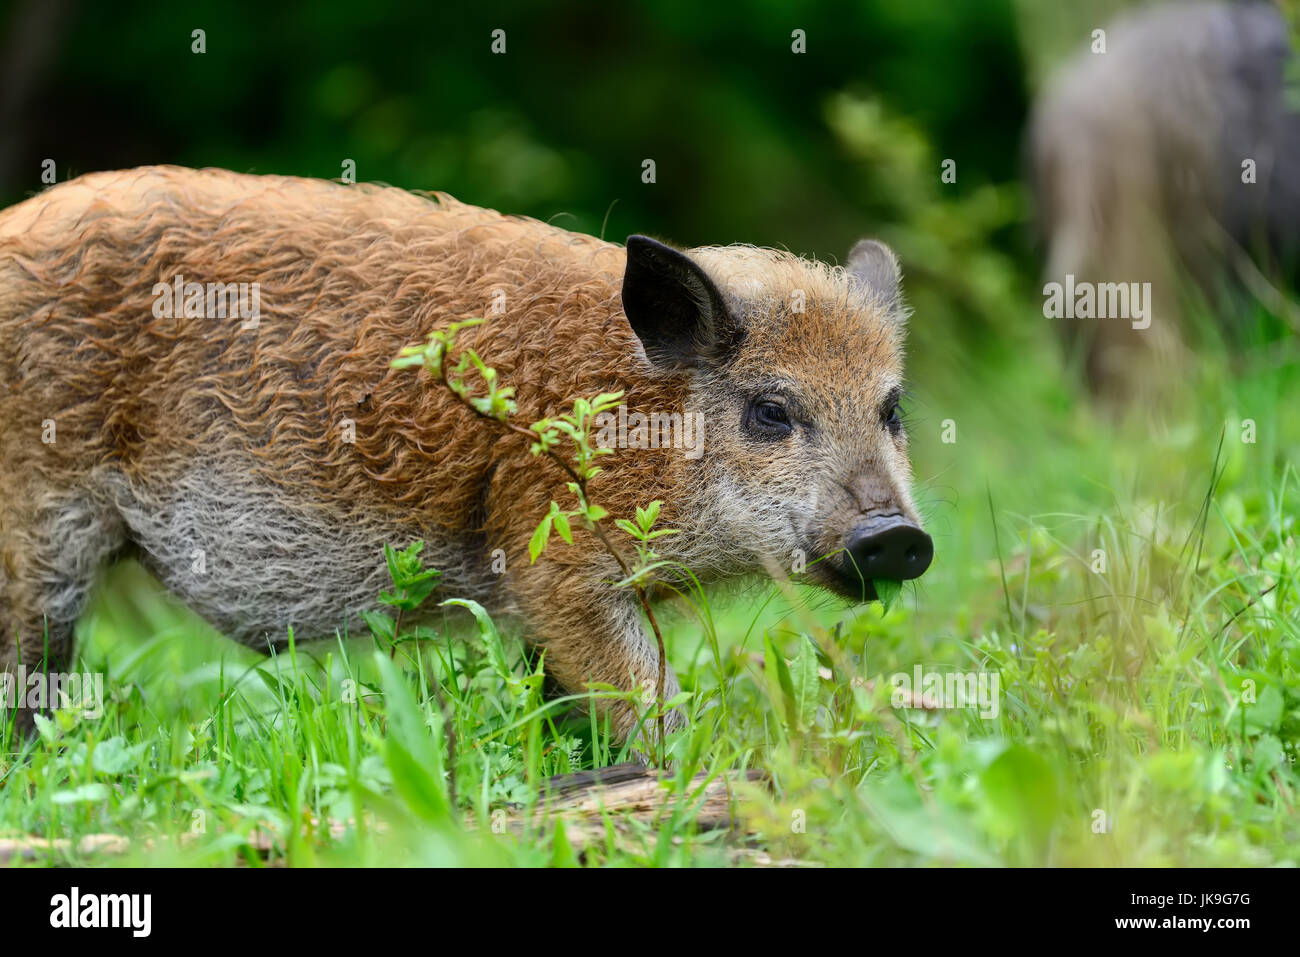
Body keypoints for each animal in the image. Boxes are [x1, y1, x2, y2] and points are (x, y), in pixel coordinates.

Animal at [0, 166, 931, 741]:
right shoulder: (552, 556)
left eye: (892, 407)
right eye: (771, 410)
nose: (898, 536)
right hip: (34, 524)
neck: (638, 415)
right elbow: (645, 695)